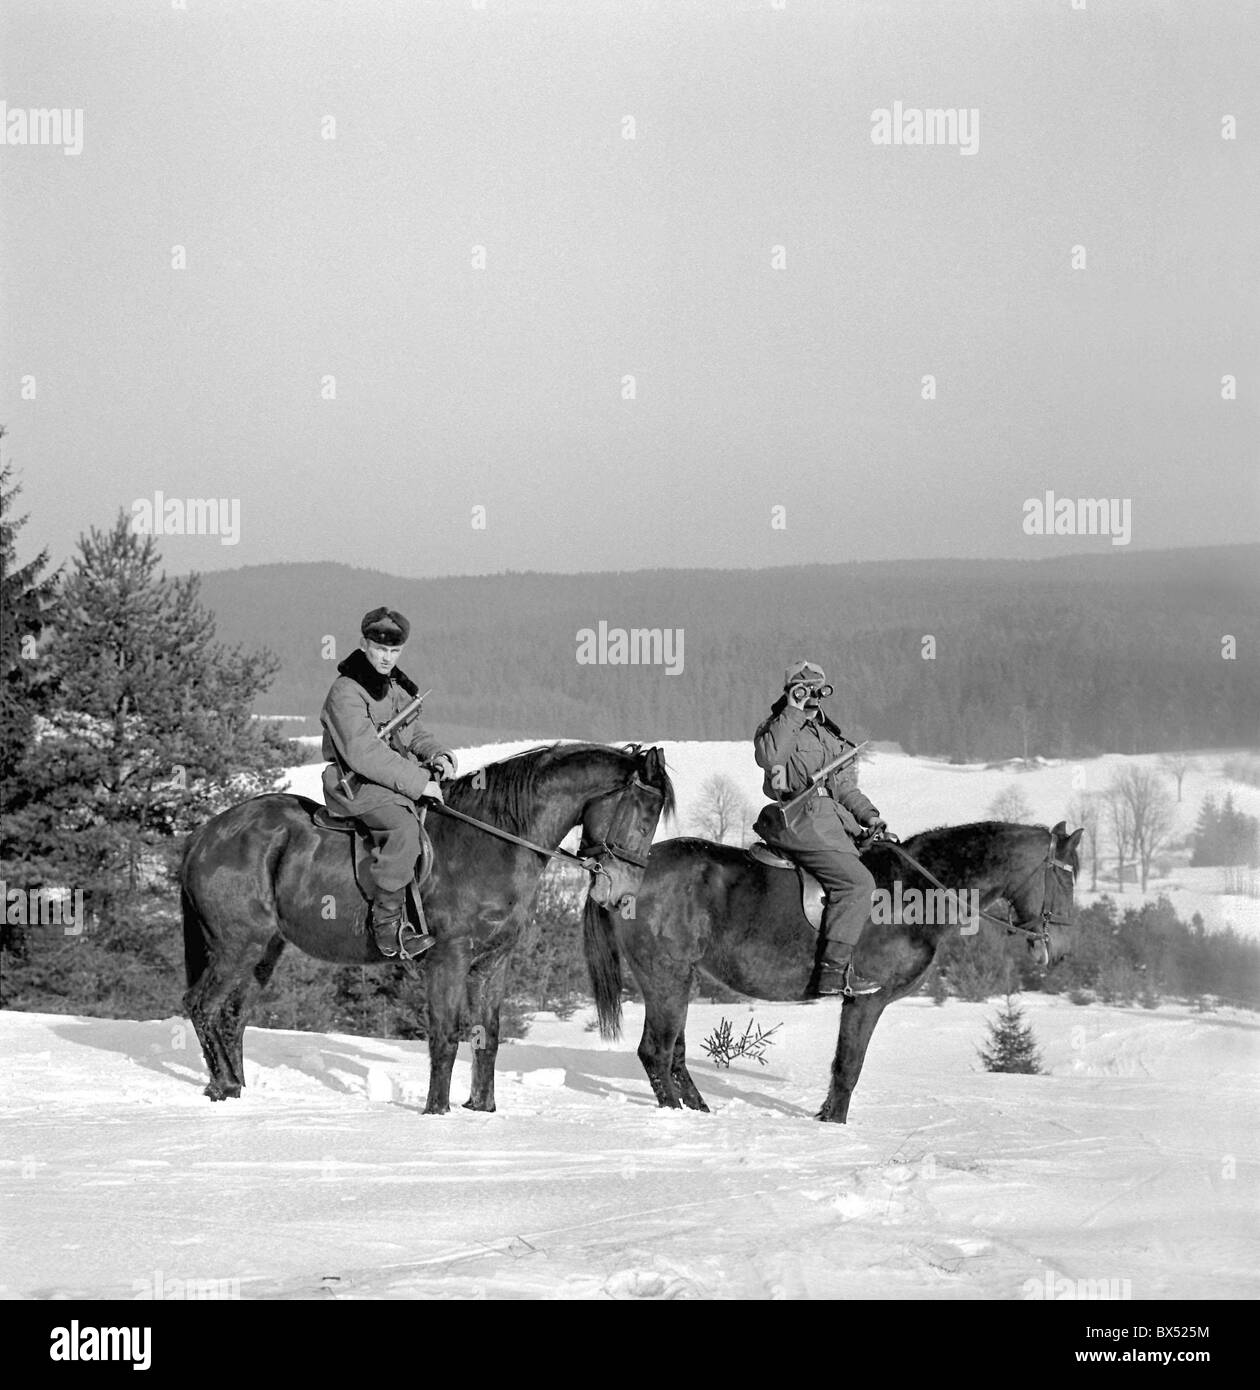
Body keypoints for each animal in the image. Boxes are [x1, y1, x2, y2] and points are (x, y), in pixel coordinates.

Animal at [181, 742, 675, 1114]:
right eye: (643, 814)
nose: (622, 894)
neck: (493, 840)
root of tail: (205, 835)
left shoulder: (493, 961)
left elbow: (487, 1035)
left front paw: (483, 1108)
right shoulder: (448, 957)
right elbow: (444, 1035)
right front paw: (437, 1111)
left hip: (264, 952)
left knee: (232, 1017)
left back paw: (237, 1088)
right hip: (236, 946)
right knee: (202, 1006)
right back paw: (224, 1085)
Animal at [582, 819, 1082, 1122]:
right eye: (1065, 876)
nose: (1059, 951)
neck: (916, 891)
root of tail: (620, 873)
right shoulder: (867, 998)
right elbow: (848, 1065)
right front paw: (834, 1123)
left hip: (679, 978)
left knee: (675, 1053)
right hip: (665, 975)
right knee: (655, 1052)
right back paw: (676, 1114)